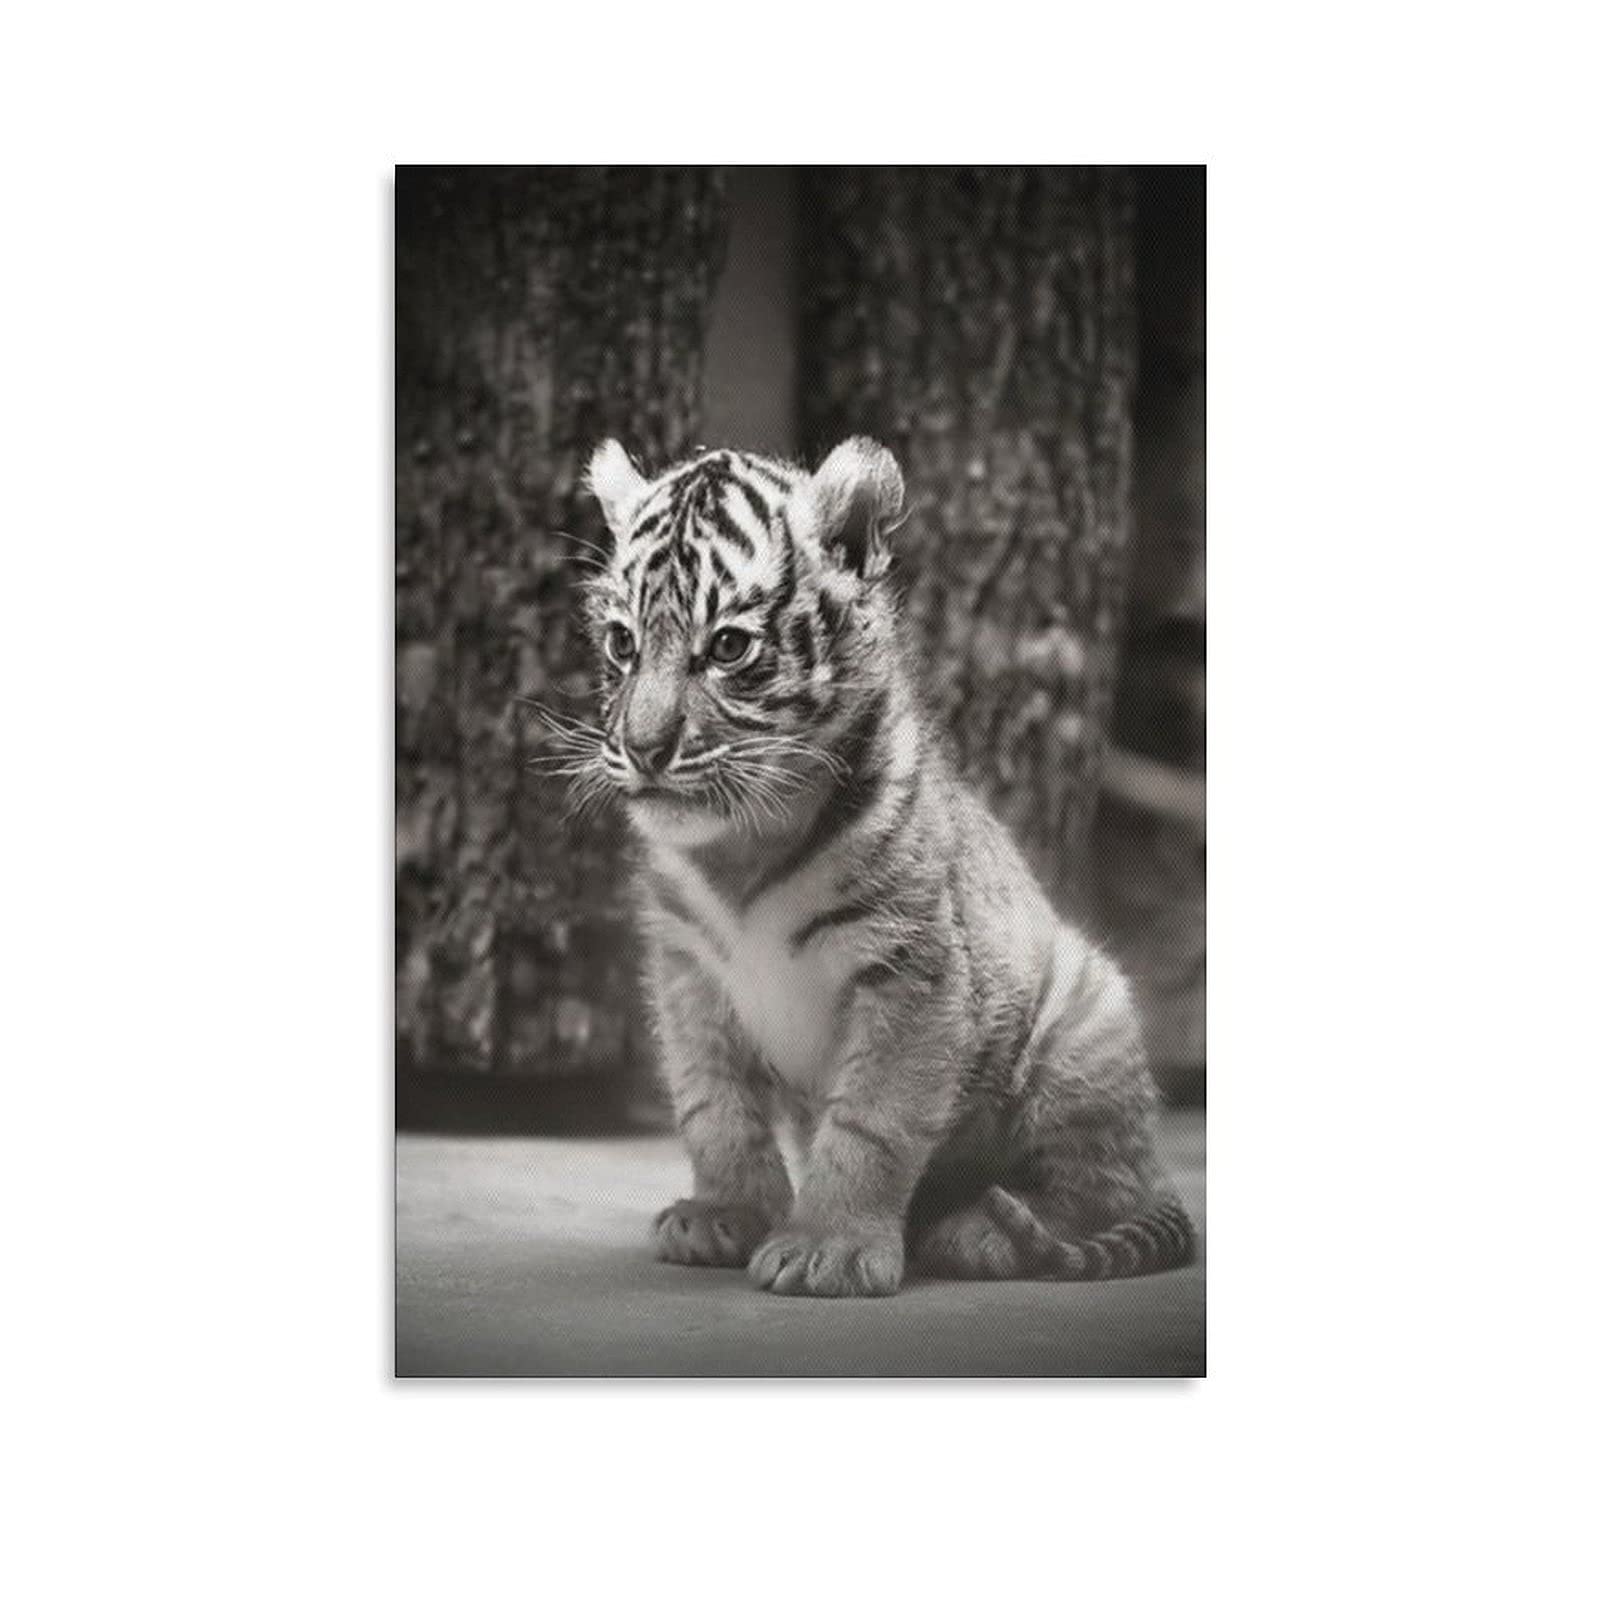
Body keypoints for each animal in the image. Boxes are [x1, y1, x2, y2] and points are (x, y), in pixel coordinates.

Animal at [565, 435, 1196, 1297]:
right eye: (622, 643)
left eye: (728, 646)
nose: (643, 747)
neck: (741, 844)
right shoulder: (687, 974)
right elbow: (713, 1107)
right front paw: (723, 1214)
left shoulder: (912, 973)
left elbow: (871, 1123)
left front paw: (825, 1247)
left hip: (1084, 1022)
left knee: (1099, 1188)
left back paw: (981, 1233)